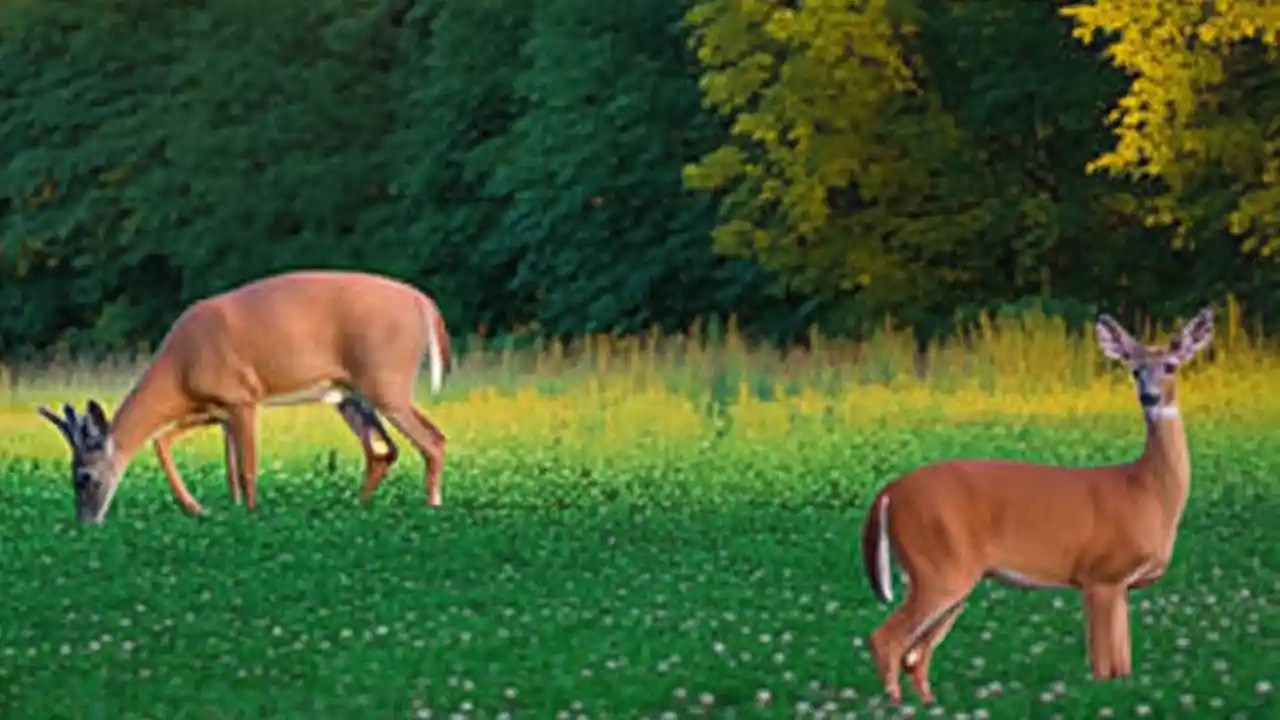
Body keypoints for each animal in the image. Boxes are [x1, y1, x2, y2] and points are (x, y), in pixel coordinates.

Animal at [37, 270, 453, 524]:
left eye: (84, 477)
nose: (86, 523)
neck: (181, 368)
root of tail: (424, 302)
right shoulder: (215, 409)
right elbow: (184, 449)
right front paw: (203, 509)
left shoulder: (244, 398)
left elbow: (248, 467)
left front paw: (250, 514)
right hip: (348, 396)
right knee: (382, 450)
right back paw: (358, 507)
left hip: (388, 380)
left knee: (432, 438)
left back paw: (432, 507)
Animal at [859, 307, 1213, 706]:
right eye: (1134, 369)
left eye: (1171, 366)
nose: (1149, 397)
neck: (1145, 491)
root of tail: (888, 491)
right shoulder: (1101, 574)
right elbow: (1104, 668)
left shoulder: (1118, 584)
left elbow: (1123, 666)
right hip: (938, 565)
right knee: (886, 640)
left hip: (943, 576)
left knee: (916, 654)